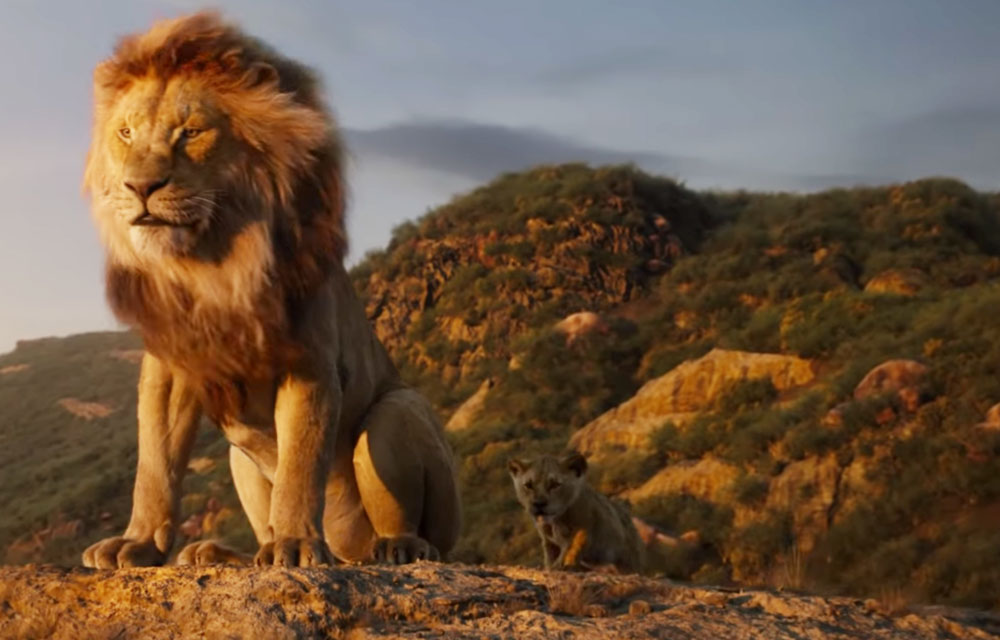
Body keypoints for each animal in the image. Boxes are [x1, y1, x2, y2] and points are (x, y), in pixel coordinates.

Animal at [80, 12, 461, 568]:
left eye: (191, 132)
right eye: (126, 133)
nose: (140, 188)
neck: (211, 264)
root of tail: (348, 552)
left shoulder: (309, 362)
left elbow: (300, 464)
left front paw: (295, 545)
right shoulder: (170, 367)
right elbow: (155, 464)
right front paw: (139, 542)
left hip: (399, 412)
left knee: (419, 529)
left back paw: (399, 546)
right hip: (239, 456)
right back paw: (220, 553)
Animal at [507, 452, 643, 573]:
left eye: (555, 484)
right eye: (528, 485)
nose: (539, 503)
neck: (554, 521)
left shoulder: (583, 529)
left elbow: (571, 549)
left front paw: (560, 566)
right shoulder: (548, 541)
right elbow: (550, 557)